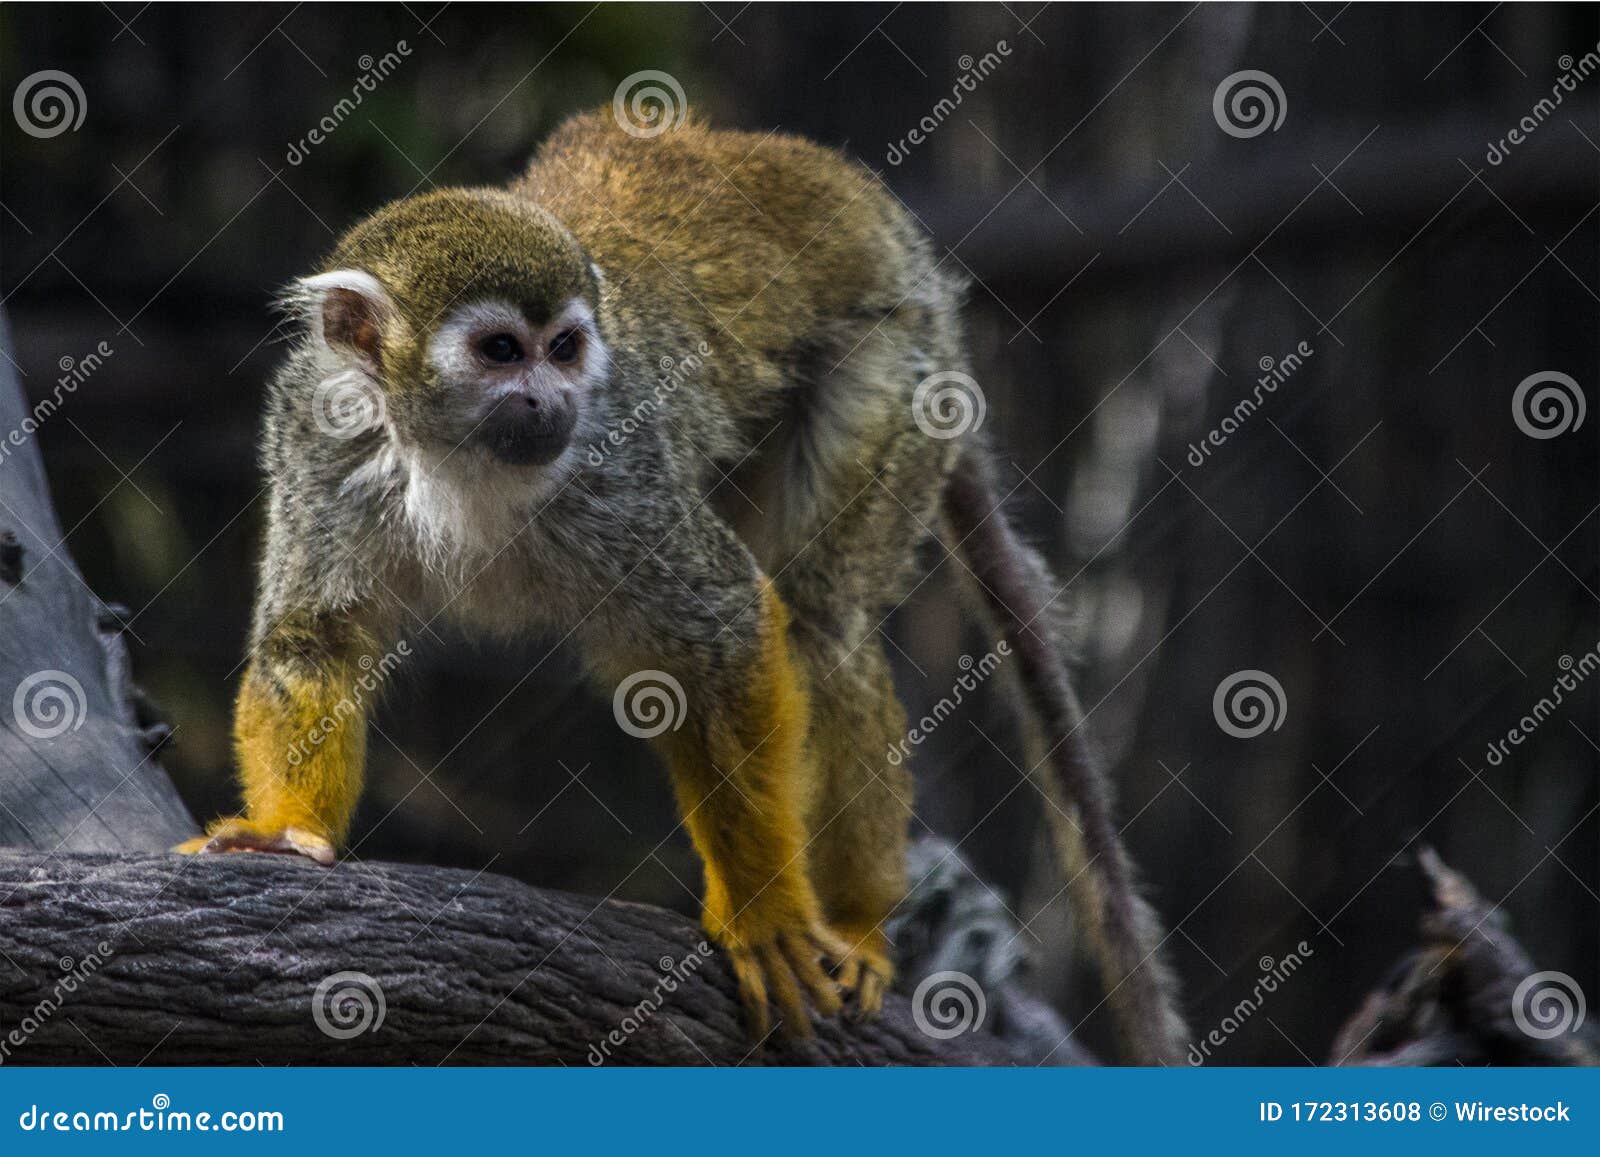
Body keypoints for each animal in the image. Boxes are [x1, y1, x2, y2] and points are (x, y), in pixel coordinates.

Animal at [175, 109, 1188, 1062]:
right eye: (501, 350)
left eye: (566, 348)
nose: (551, 400)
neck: (453, 455)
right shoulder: (321, 435)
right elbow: (316, 638)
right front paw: (285, 830)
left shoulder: (618, 461)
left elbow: (728, 630)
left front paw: (766, 911)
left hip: (900, 357)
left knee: (821, 616)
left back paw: (857, 922)